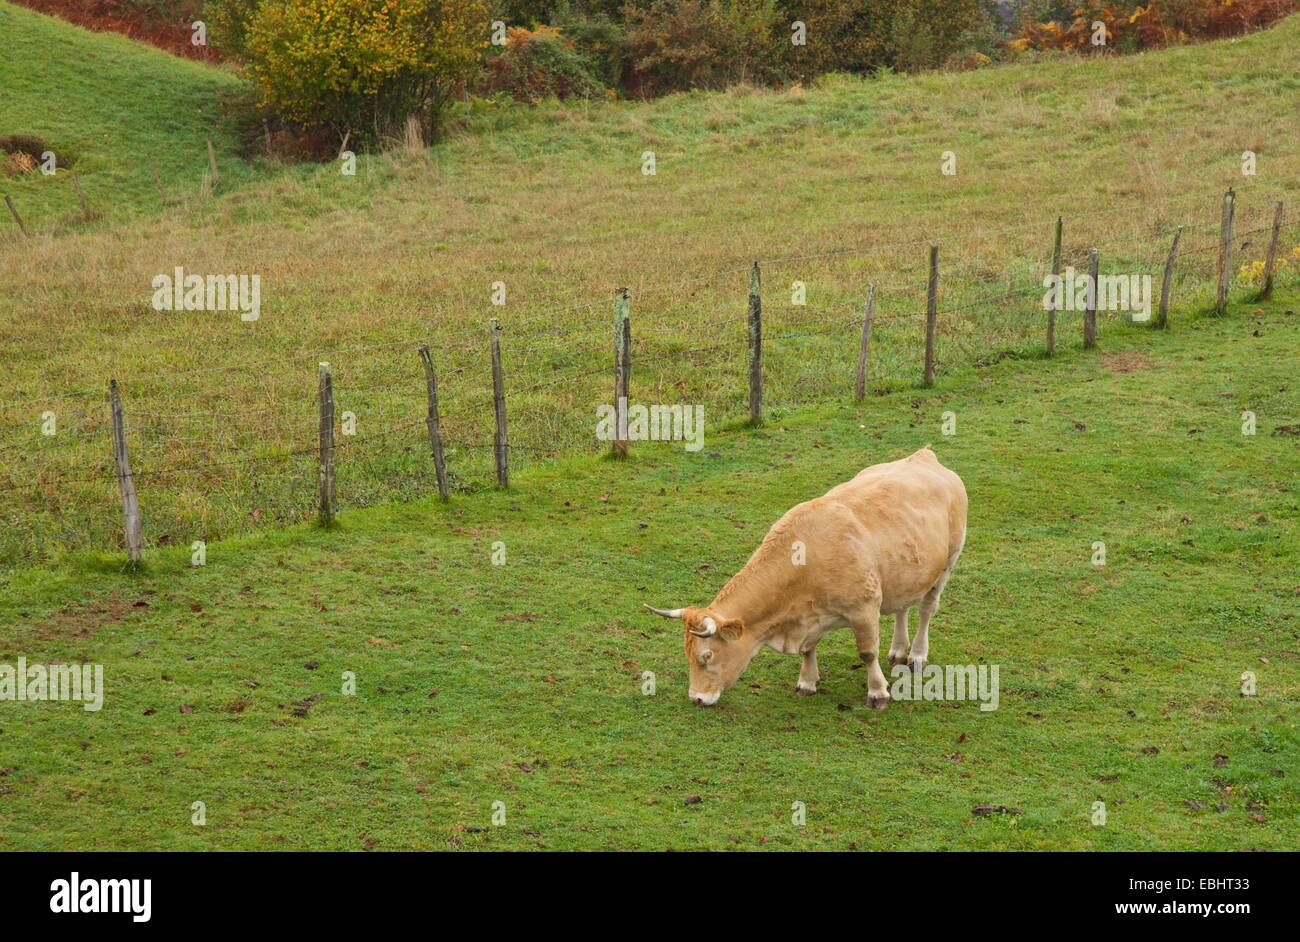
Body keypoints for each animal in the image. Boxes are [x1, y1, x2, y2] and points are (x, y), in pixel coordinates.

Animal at [646, 446, 967, 709]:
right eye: (688, 654)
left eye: (707, 656)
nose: (697, 698)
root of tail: (924, 456)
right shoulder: (808, 614)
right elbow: (809, 648)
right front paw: (807, 681)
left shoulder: (864, 609)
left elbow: (867, 653)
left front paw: (877, 693)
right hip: (906, 574)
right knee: (903, 607)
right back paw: (899, 650)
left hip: (948, 563)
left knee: (925, 610)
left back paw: (916, 655)